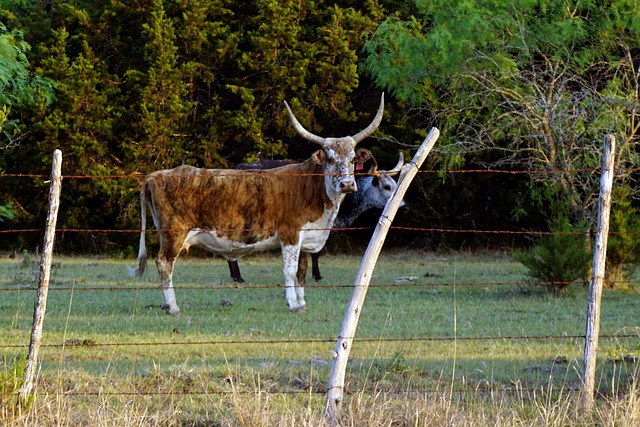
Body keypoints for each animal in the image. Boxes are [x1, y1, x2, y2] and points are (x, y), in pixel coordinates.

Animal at [130, 94, 385, 315]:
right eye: (330, 159)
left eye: (352, 159)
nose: (347, 184)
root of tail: (158, 174)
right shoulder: (290, 234)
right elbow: (289, 271)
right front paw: (293, 304)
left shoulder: (306, 239)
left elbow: (301, 272)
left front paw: (302, 303)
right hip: (173, 233)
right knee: (164, 263)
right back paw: (172, 307)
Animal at [226, 153, 406, 283]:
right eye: (387, 186)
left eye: (395, 184)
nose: (404, 207)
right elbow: (315, 253)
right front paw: (316, 275)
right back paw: (238, 277)